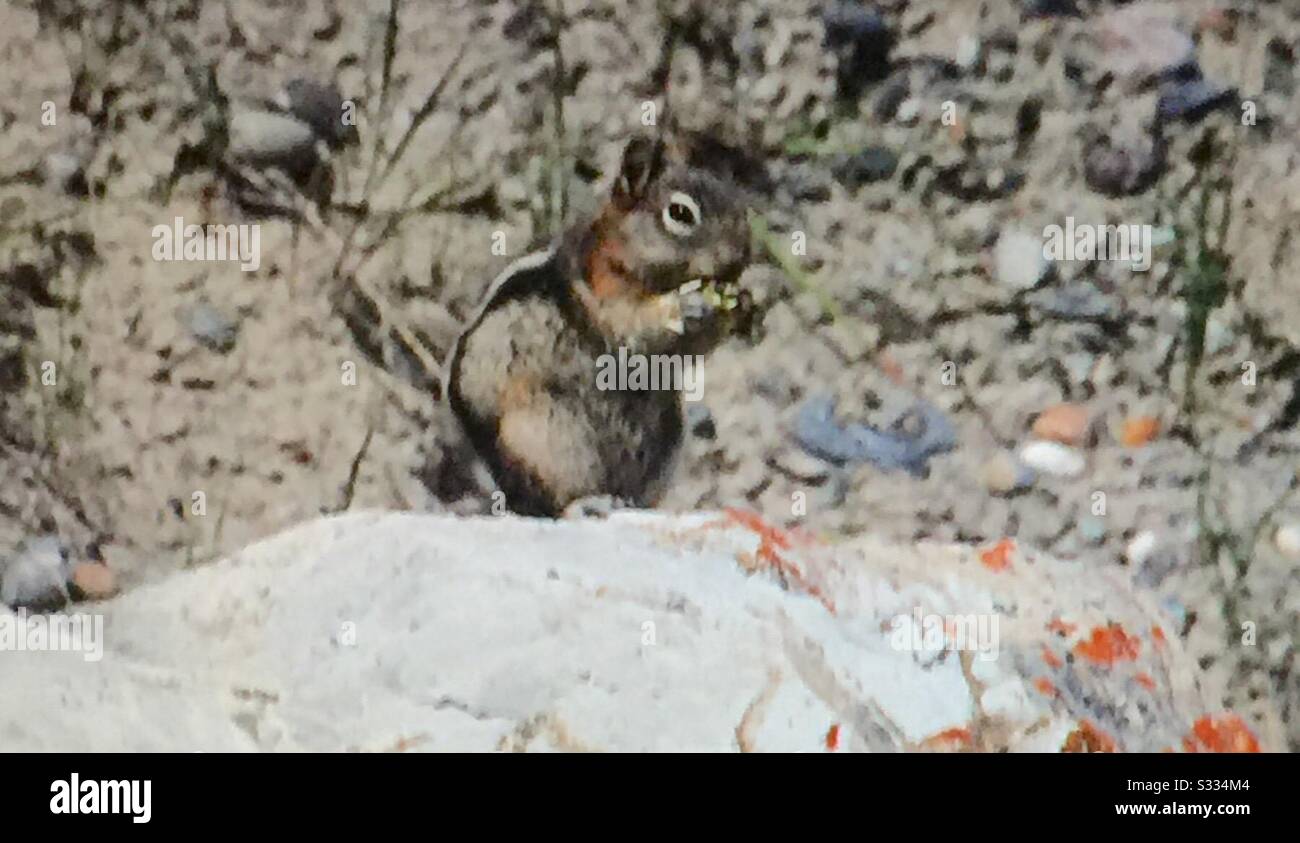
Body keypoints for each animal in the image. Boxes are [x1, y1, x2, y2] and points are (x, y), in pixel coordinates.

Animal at [445, 131, 763, 517]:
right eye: (680, 213)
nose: (742, 256)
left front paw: (745, 306)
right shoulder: (606, 301)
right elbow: (634, 326)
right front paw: (685, 304)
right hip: (547, 439)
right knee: (552, 503)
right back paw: (586, 503)